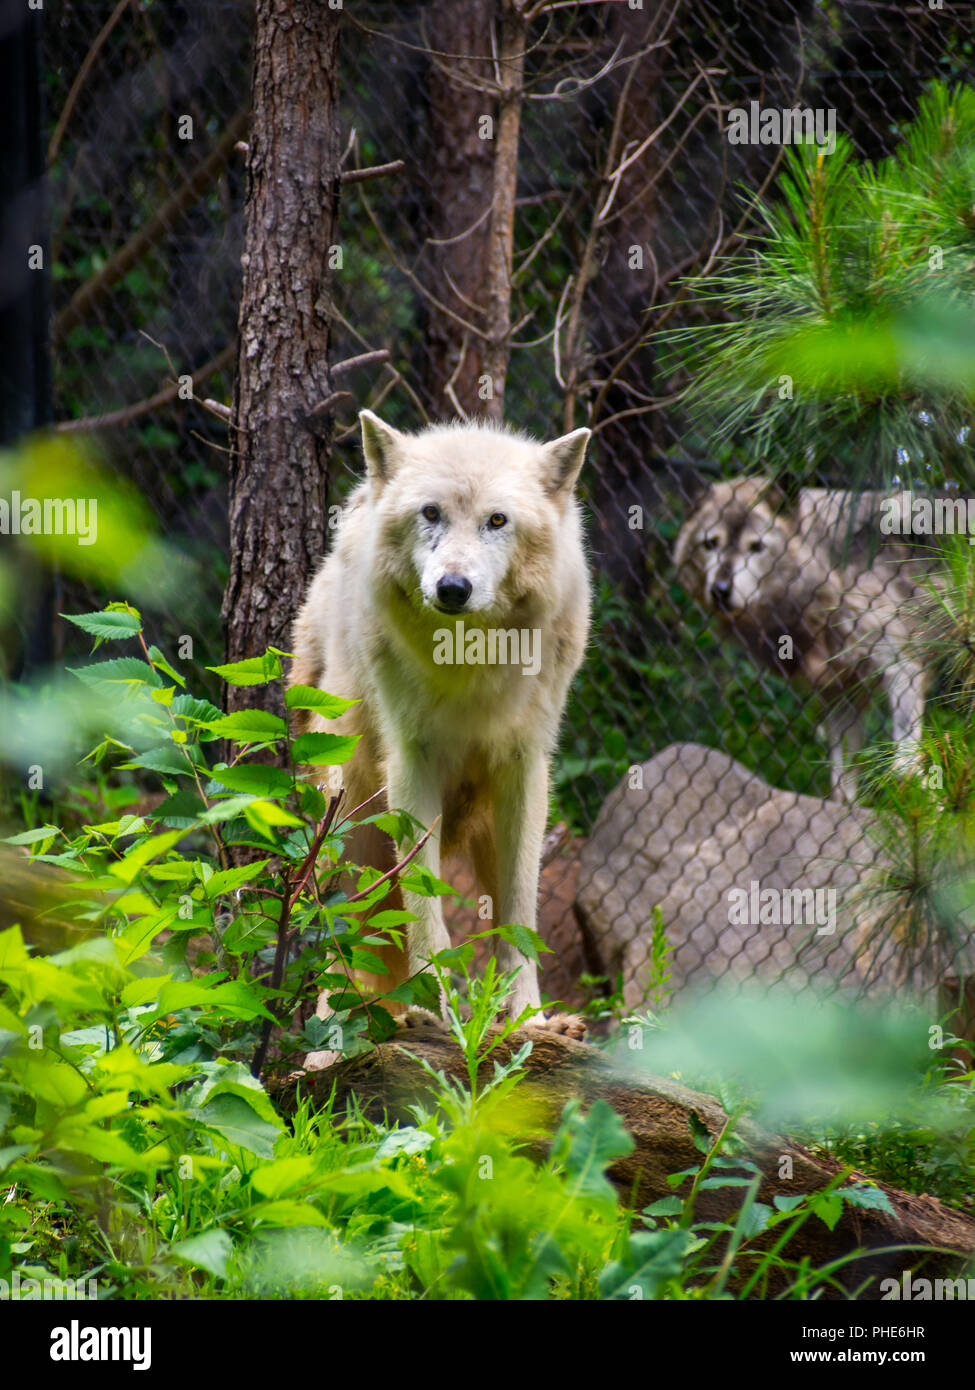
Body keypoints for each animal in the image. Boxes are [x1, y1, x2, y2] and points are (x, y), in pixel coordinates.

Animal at [290, 410, 592, 1064]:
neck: (469, 663)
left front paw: (530, 1020)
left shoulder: (526, 769)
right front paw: (442, 1013)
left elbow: (519, 911)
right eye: (430, 513)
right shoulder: (412, 765)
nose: (453, 588)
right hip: (348, 820)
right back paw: (337, 1040)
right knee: (340, 935)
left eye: (497, 521)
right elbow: (424, 905)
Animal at [674, 476, 935, 801]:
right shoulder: (842, 689)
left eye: (756, 546)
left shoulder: (903, 666)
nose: (720, 590)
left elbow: (903, 768)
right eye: (711, 543)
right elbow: (841, 778)